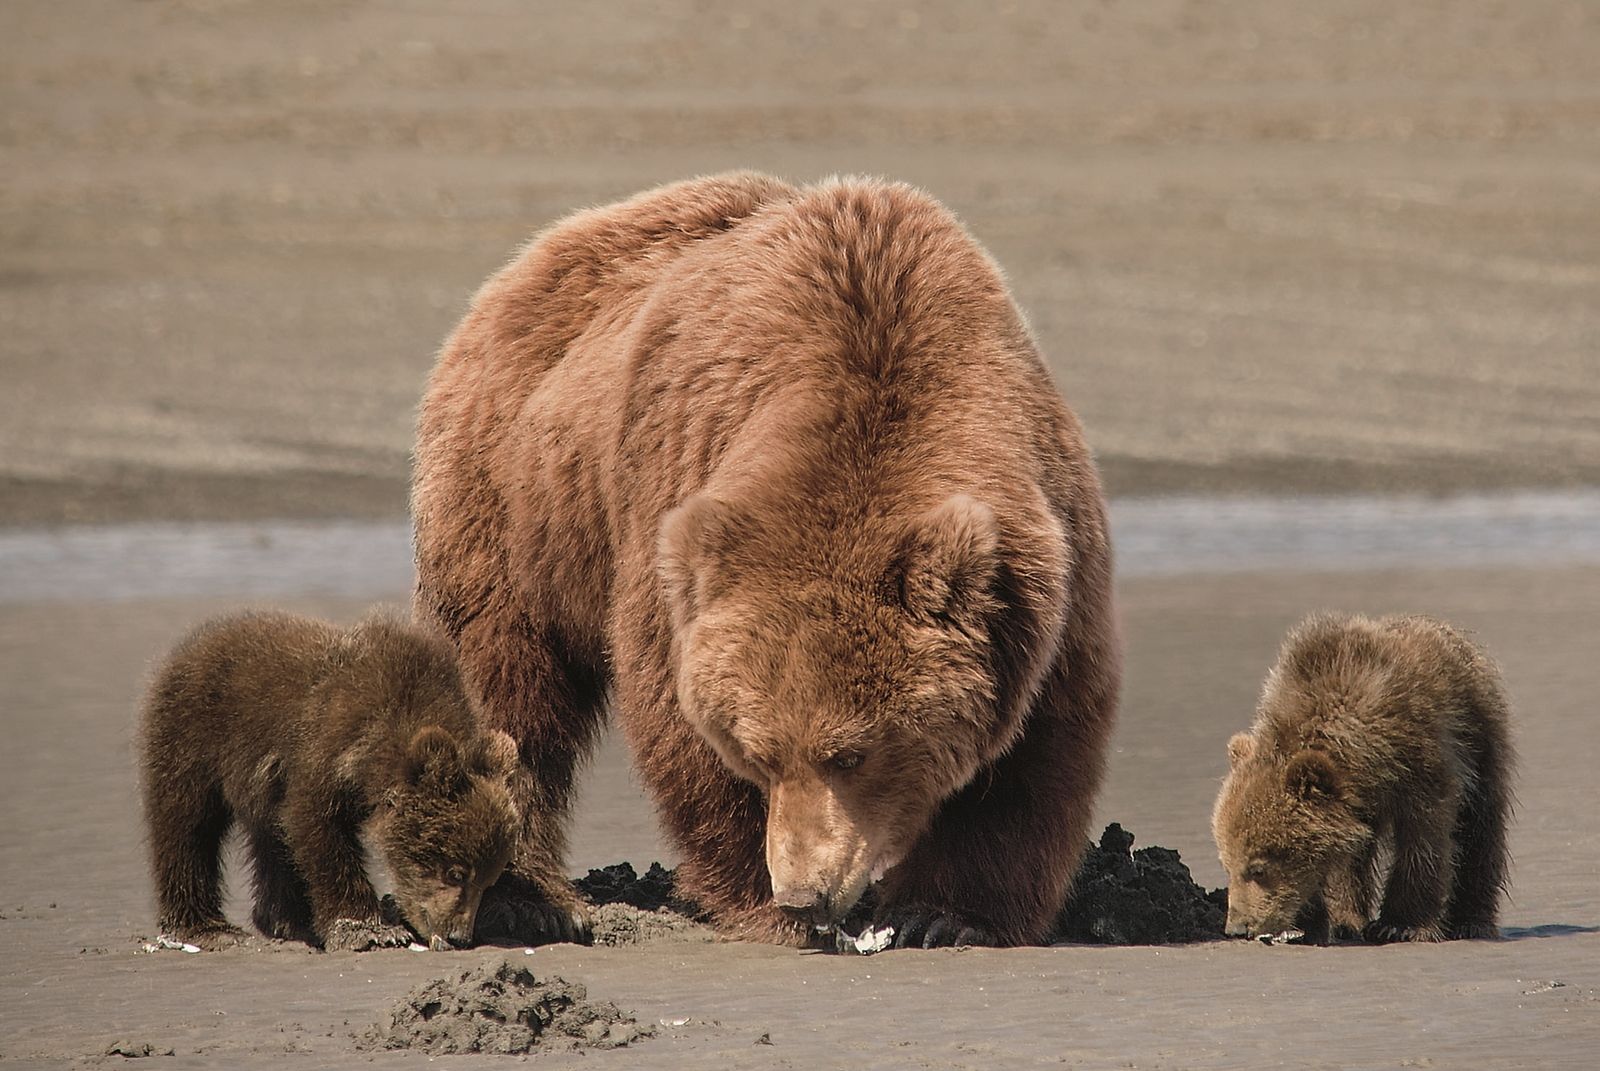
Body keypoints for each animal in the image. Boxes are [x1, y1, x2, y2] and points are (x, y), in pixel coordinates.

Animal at [138, 609, 521, 951]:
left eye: (488, 879)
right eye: (455, 872)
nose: (459, 936)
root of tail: (191, 644)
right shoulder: (325, 748)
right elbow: (316, 829)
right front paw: (370, 930)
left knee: (271, 839)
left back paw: (287, 920)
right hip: (192, 738)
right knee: (187, 825)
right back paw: (206, 928)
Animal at [412, 172, 1121, 948]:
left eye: (853, 752)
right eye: (759, 751)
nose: (805, 894)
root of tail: (532, 260)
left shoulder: (1043, 567)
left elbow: (1036, 747)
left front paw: (943, 915)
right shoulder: (676, 511)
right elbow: (678, 717)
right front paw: (763, 900)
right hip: (515, 503)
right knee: (505, 689)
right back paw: (521, 898)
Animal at [1211, 612, 1515, 944]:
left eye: (1258, 869)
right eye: (1227, 865)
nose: (1238, 927)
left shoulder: (1420, 761)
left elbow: (1423, 838)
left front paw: (1401, 925)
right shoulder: (1351, 801)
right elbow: (1345, 858)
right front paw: (1329, 922)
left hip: (1479, 735)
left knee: (1480, 826)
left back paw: (1472, 921)